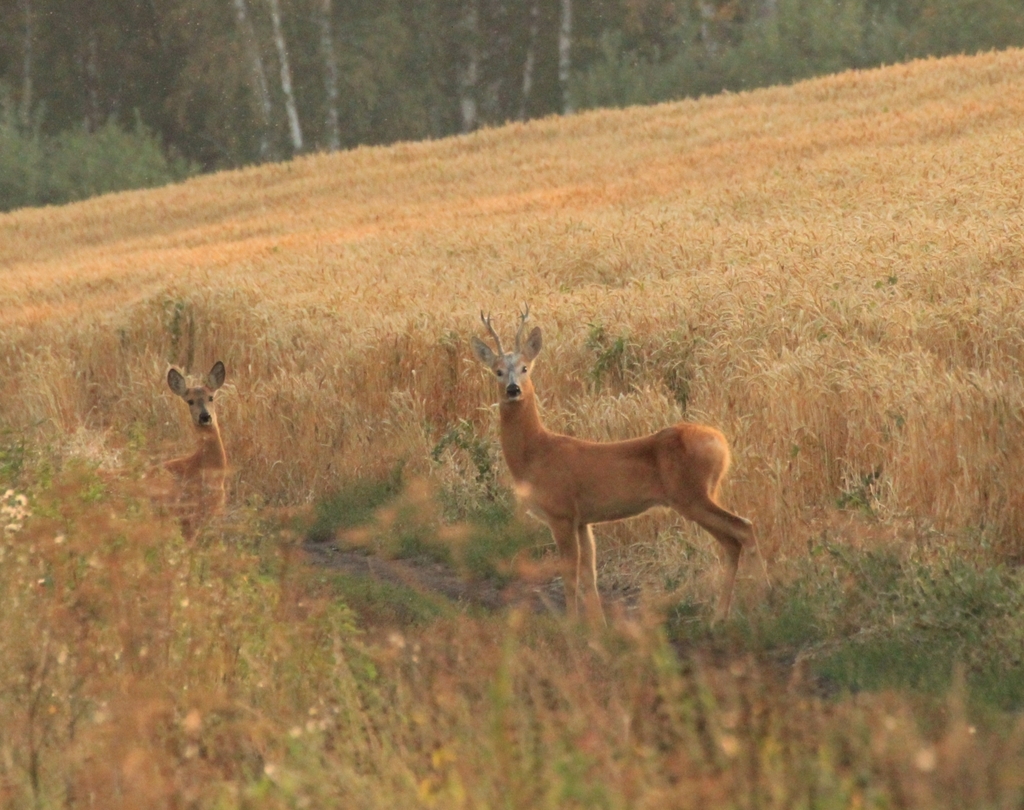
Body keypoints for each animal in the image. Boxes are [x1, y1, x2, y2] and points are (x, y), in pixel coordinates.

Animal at [471, 307, 757, 625]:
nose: (513, 389)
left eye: (524, 367)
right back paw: (722, 615)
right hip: (701, 494)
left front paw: (571, 623)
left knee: (744, 529)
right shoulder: (583, 519)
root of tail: (721, 443)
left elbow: (570, 572)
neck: (535, 454)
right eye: (497, 371)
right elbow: (589, 573)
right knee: (733, 540)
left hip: (691, 495)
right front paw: (598, 624)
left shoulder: (560, 512)